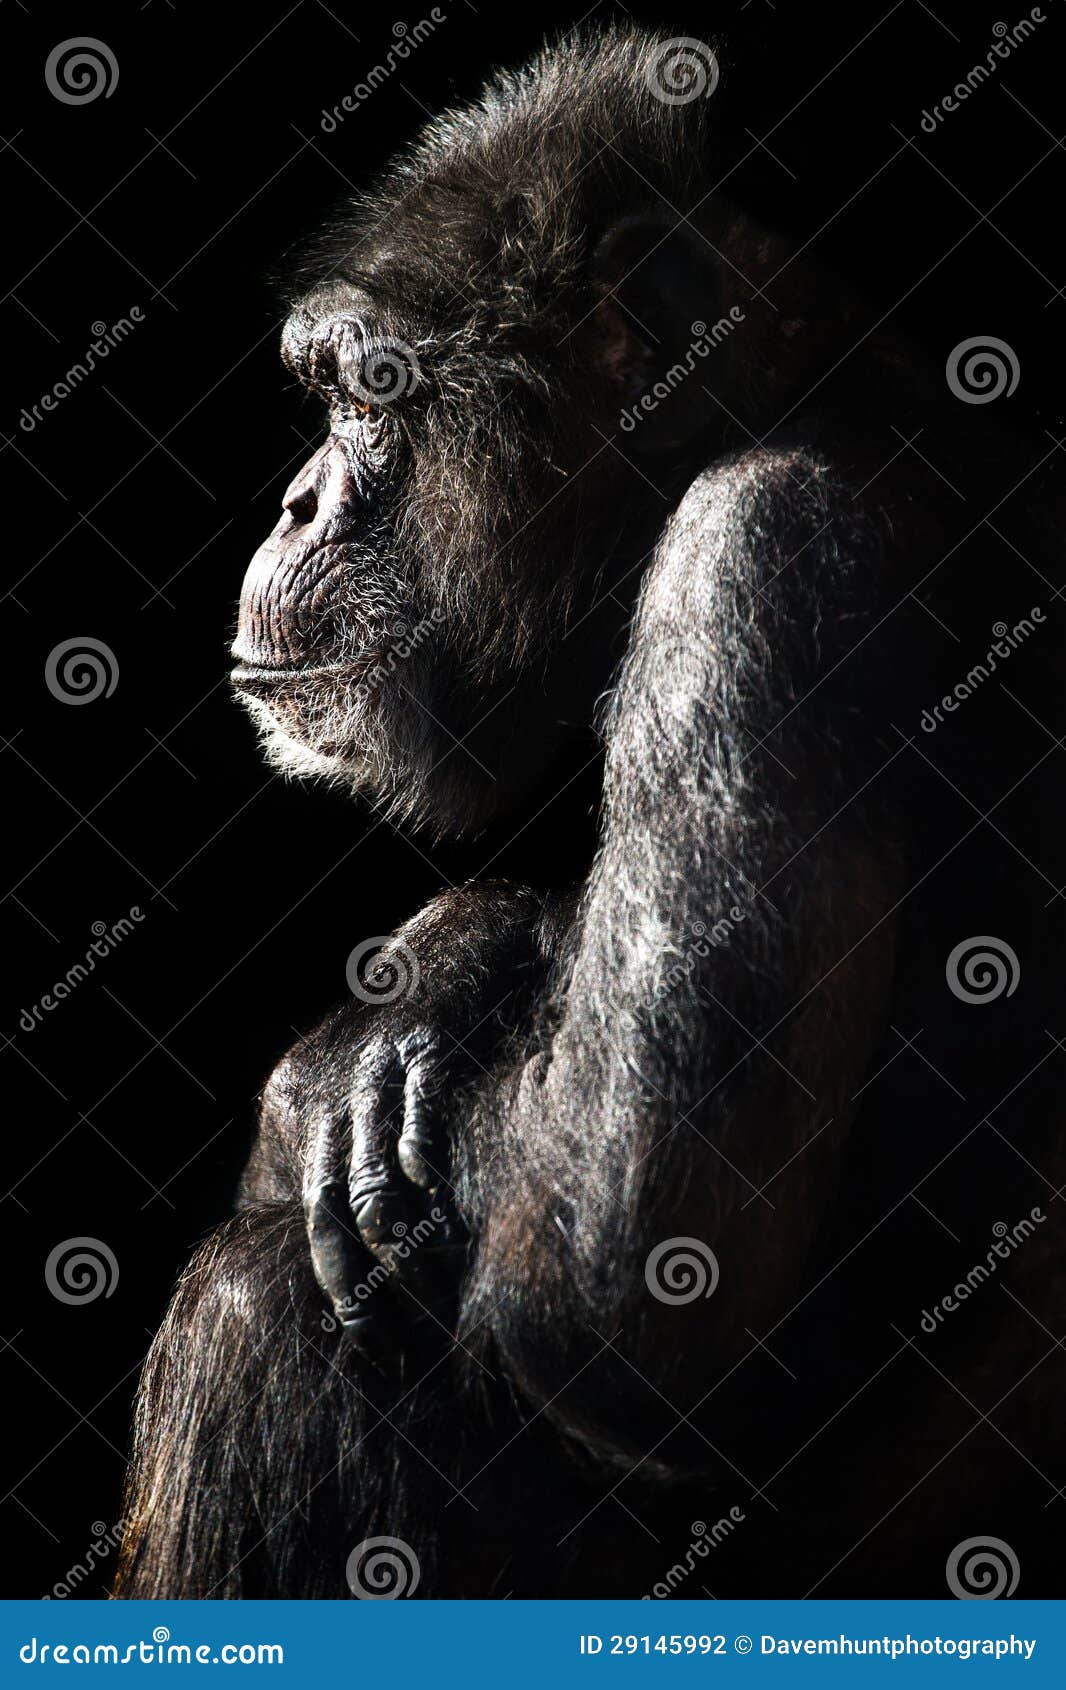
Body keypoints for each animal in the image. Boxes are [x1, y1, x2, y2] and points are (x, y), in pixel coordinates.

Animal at [116, 26, 1066, 1599]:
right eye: (324, 393)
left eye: (373, 392)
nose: (300, 498)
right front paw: (457, 963)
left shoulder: (757, 558)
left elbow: (625, 1280)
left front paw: (343, 1063)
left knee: (257, 1307)